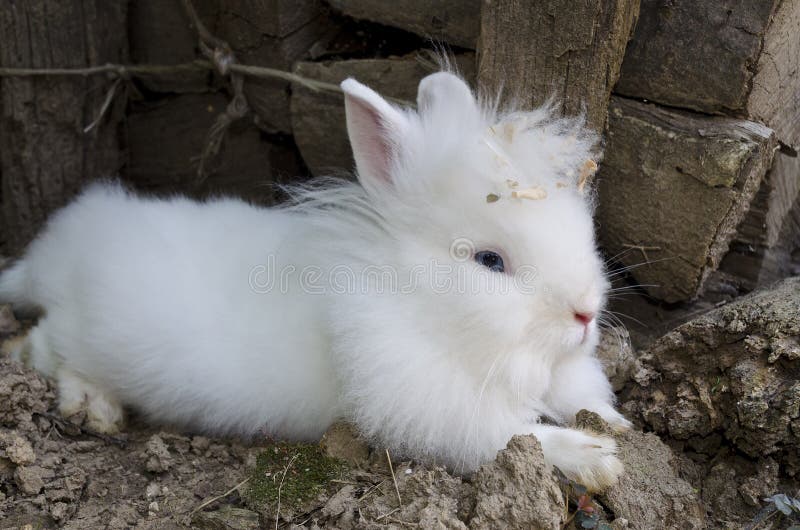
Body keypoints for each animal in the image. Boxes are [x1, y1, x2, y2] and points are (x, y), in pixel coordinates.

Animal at [0, 70, 630, 489]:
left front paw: (614, 423)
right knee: (42, 347)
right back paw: (95, 407)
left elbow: (575, 400)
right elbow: (520, 438)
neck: (407, 297)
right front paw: (598, 459)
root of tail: (55, 253)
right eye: (489, 261)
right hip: (82, 333)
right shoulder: (437, 409)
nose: (585, 312)